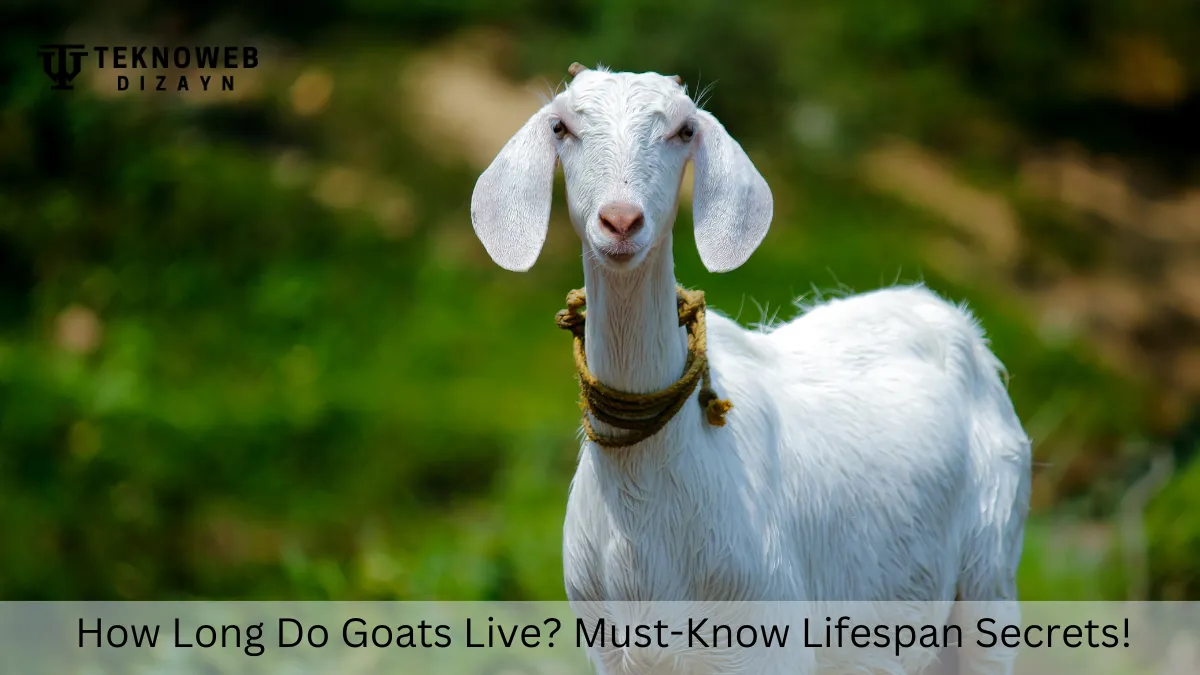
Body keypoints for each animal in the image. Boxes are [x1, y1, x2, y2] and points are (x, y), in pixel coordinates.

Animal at [470, 63, 1032, 675]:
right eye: (562, 126)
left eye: (684, 130)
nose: (620, 221)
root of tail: (953, 319)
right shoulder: (611, 650)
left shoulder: (768, 639)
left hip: (991, 575)